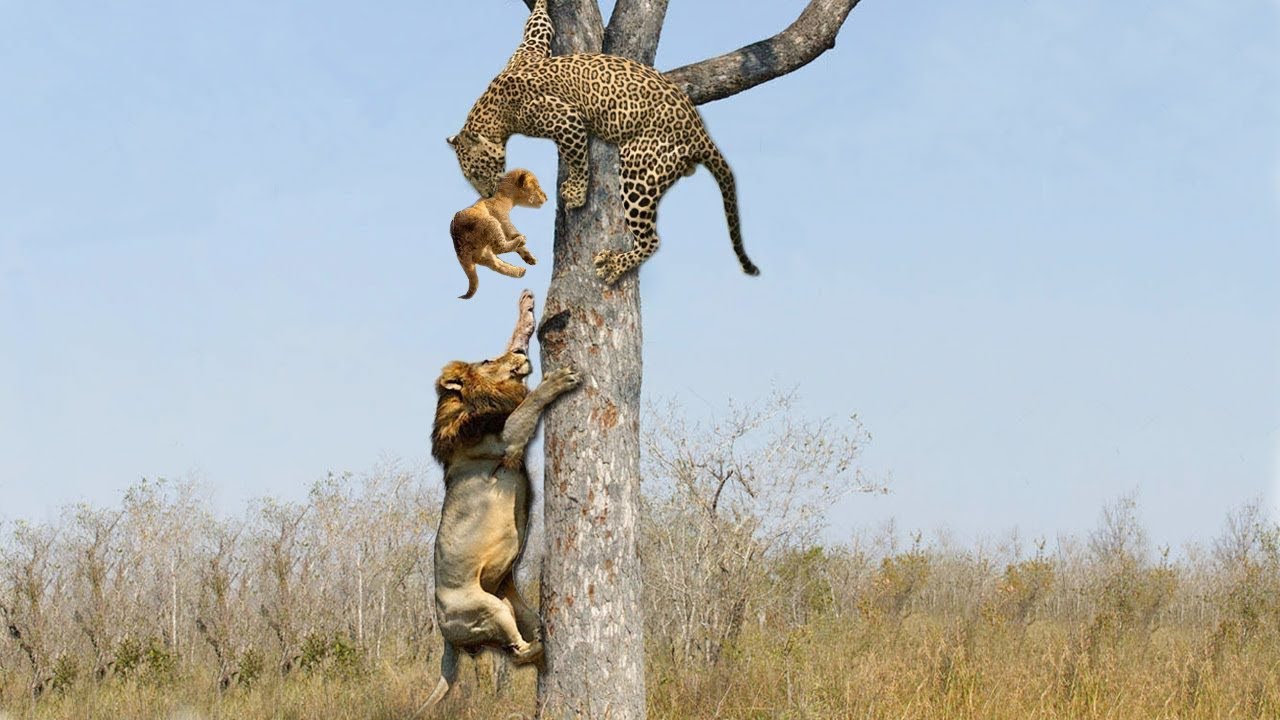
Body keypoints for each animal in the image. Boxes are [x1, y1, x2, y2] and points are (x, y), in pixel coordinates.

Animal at [420, 289, 579, 713]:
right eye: (488, 361)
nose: (519, 356)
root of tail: (445, 636)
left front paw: (526, 311)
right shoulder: (505, 439)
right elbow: (530, 402)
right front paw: (558, 379)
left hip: (509, 599)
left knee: (520, 637)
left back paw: (542, 635)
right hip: (485, 608)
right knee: (518, 653)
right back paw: (541, 649)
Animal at [451, 168, 548, 300]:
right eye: (537, 186)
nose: (546, 197)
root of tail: (460, 250)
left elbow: (517, 244)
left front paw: (530, 258)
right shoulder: (501, 216)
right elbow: (511, 230)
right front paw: (521, 241)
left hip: (484, 254)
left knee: (498, 265)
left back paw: (520, 271)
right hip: (490, 222)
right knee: (500, 248)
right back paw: (521, 240)